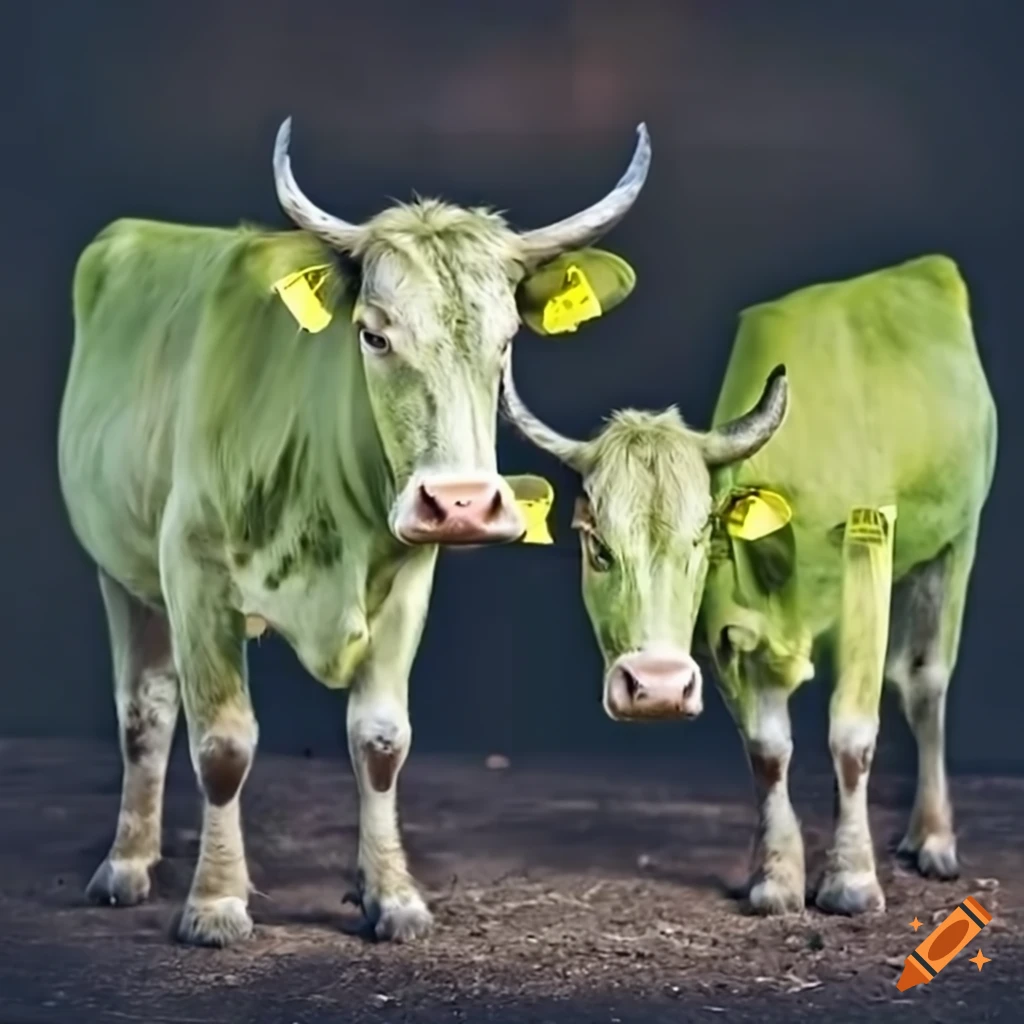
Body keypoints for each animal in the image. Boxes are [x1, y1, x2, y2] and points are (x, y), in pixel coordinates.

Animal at [57, 116, 651, 946]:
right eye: (374, 335)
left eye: (505, 341)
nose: (461, 503)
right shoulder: (195, 574)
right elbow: (222, 743)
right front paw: (216, 902)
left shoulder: (407, 582)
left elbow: (380, 739)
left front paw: (391, 895)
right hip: (124, 570)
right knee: (145, 710)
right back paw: (127, 863)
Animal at [500, 254, 997, 916]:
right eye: (595, 544)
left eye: (701, 532)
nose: (658, 688)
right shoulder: (728, 637)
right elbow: (767, 749)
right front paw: (776, 878)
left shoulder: (868, 555)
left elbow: (852, 735)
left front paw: (851, 881)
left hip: (955, 541)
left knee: (925, 682)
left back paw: (934, 839)